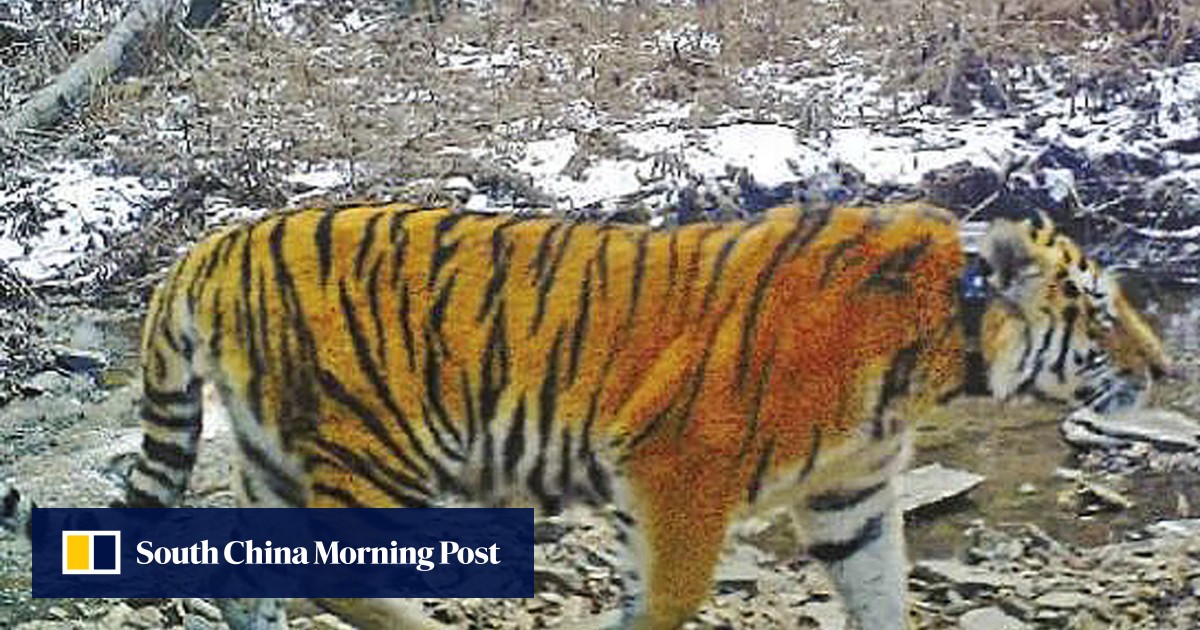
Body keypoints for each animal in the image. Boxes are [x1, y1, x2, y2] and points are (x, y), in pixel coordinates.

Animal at [1, 201, 1170, 630]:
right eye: (1102, 309)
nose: (1164, 367)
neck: (934, 355)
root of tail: (211, 242)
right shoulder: (680, 473)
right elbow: (666, 600)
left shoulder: (850, 497)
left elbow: (883, 597)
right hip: (382, 448)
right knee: (343, 576)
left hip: (277, 454)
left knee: (258, 570)